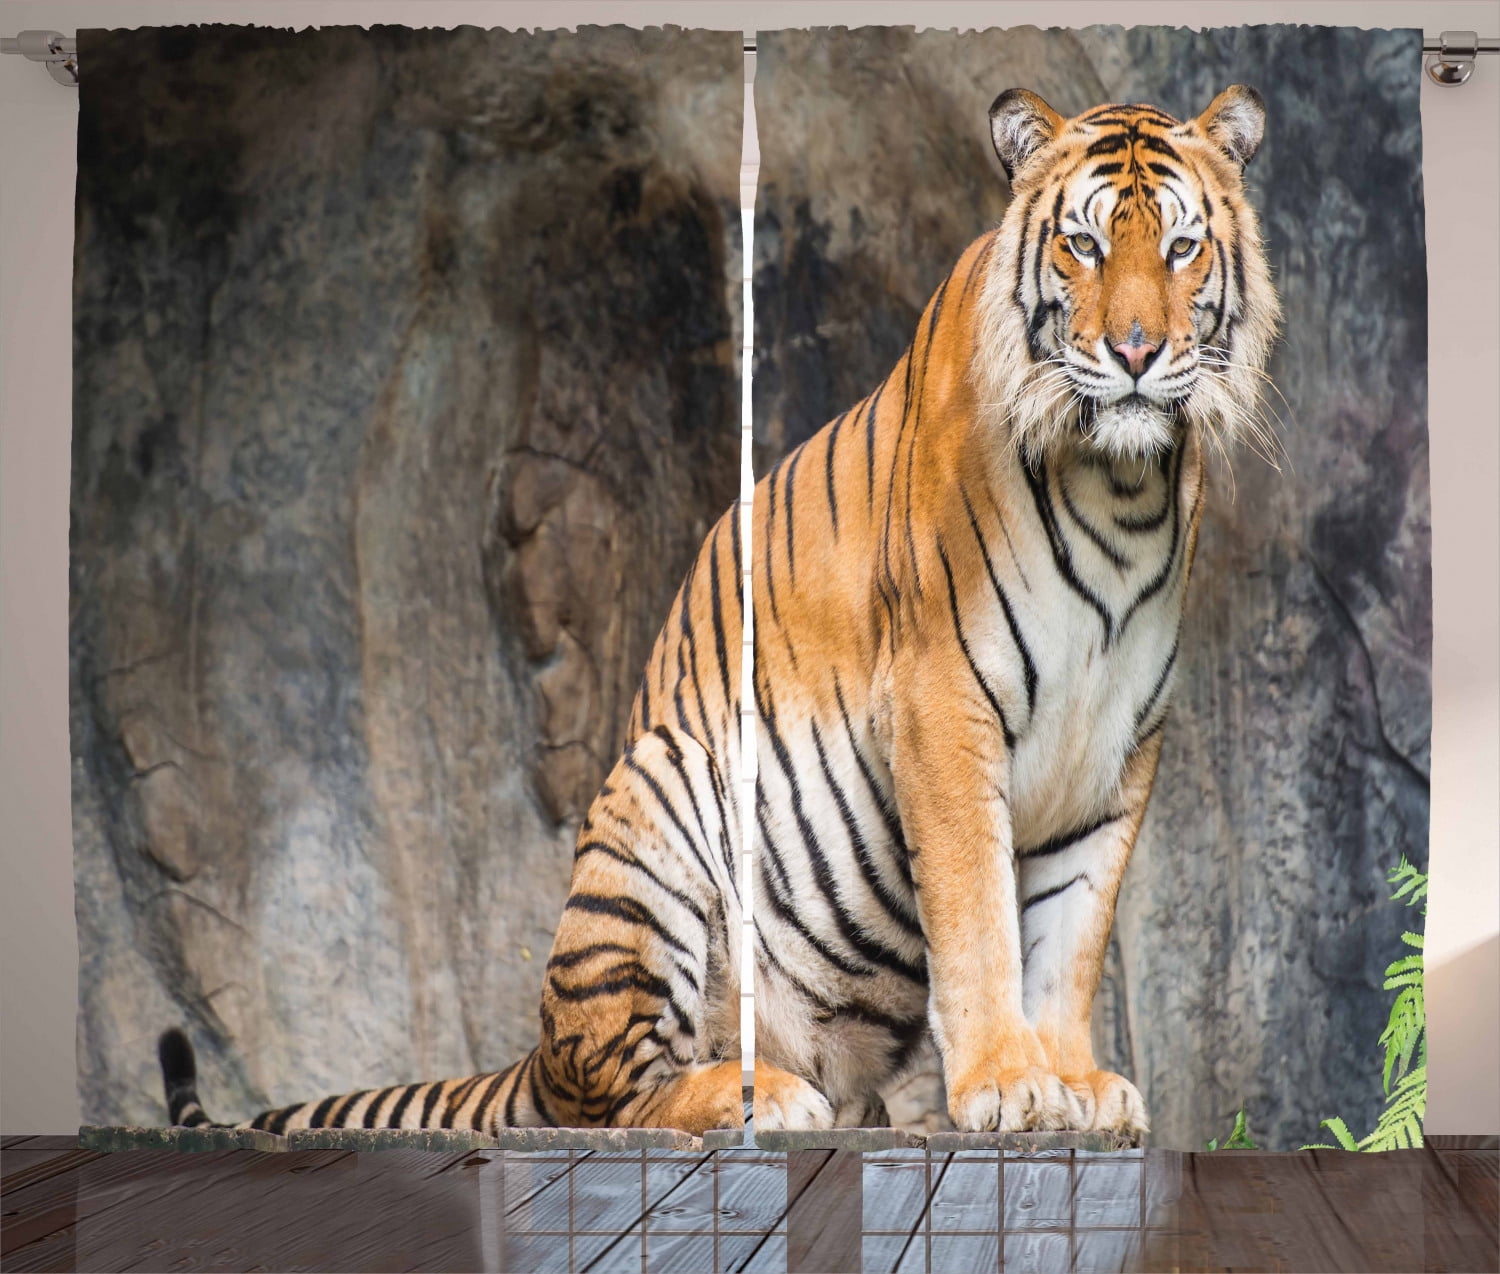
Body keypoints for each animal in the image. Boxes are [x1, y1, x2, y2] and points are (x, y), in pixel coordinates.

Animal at [157, 83, 1279, 1143]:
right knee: (618, 1093)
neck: (1120, 485)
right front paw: (1007, 1082)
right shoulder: (942, 703)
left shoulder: (1120, 744)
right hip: (667, 794)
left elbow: (1071, 939)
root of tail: (533, 1051)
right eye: (1082, 243)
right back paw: (761, 1095)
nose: (1134, 353)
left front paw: (1077, 1084)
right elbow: (979, 916)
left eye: (1181, 247)